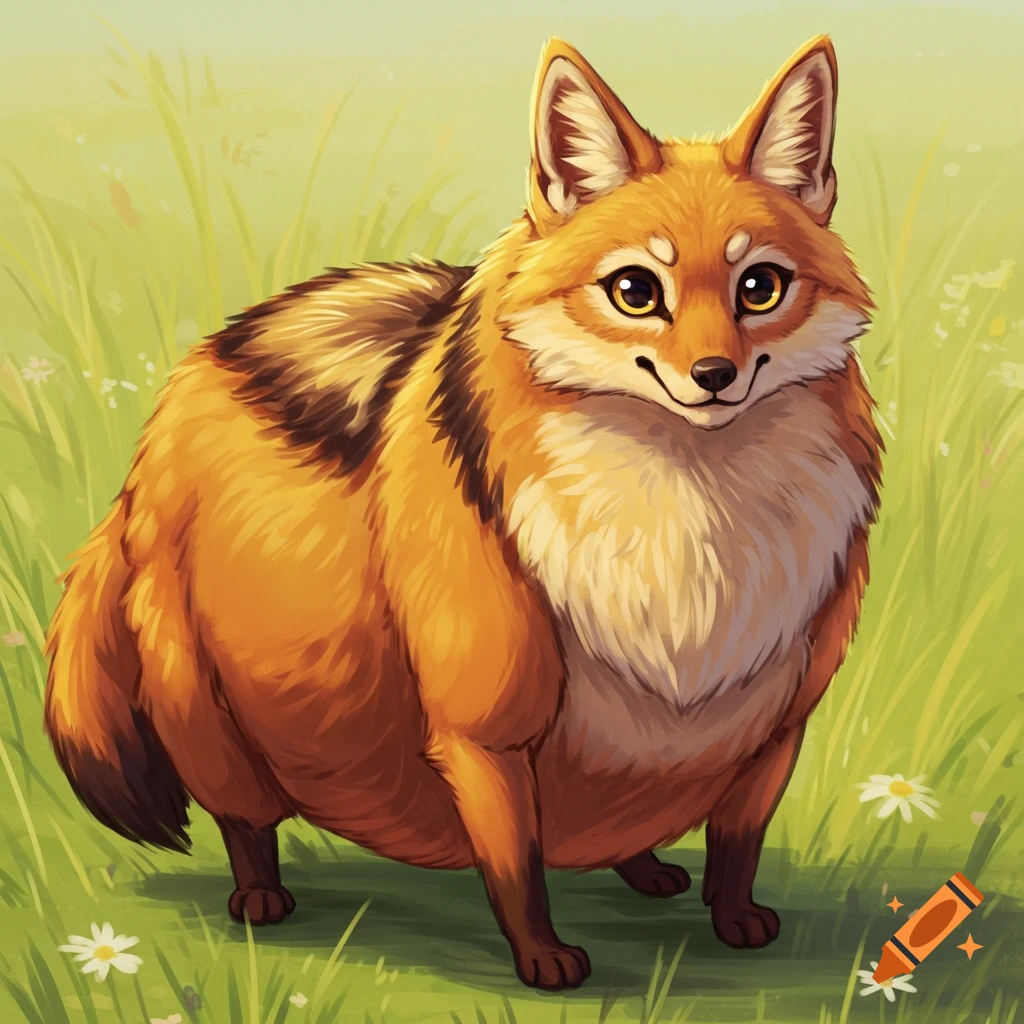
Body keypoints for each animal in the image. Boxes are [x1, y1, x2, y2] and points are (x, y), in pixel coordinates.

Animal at [44, 35, 882, 991]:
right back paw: (259, 897)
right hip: (206, 719)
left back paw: (646, 870)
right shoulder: (484, 736)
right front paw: (542, 959)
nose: (714, 376)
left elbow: (737, 844)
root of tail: (202, 362)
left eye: (761, 287)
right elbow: (516, 864)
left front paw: (734, 920)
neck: (687, 548)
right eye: (636, 291)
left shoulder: (776, 731)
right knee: (244, 821)